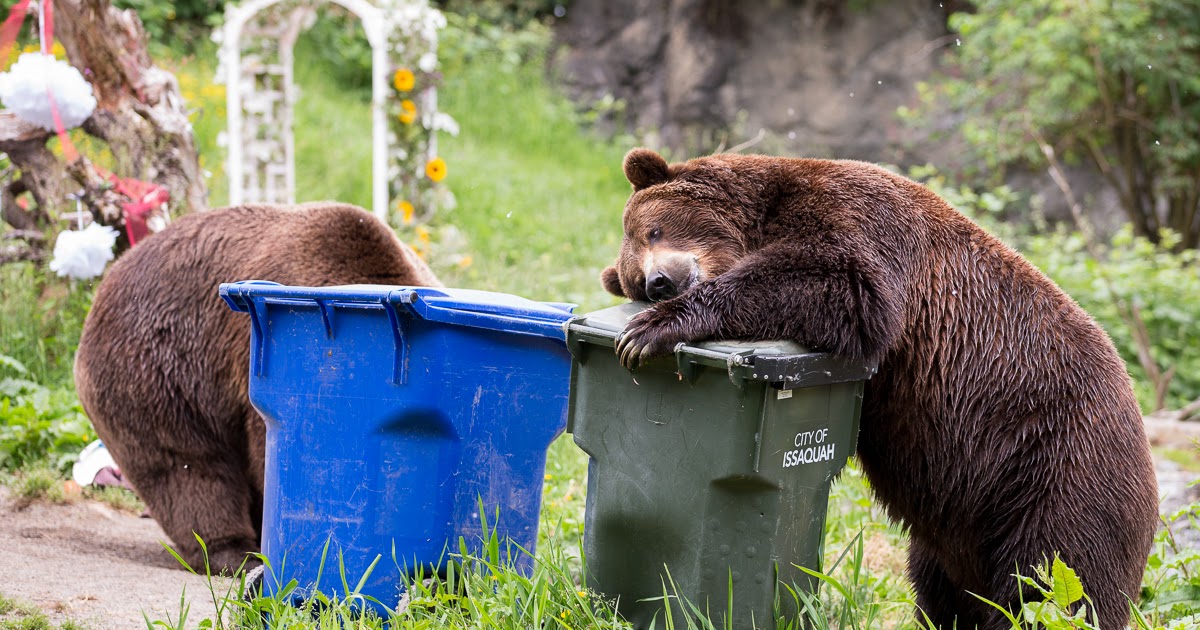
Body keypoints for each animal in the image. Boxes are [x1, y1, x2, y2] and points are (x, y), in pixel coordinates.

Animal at [600, 148, 1158, 629]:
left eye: (653, 228)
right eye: (633, 277)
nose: (659, 283)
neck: (763, 216)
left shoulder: (865, 223)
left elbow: (841, 281)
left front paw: (649, 329)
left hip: (1056, 469)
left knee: (1054, 582)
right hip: (968, 516)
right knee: (943, 588)